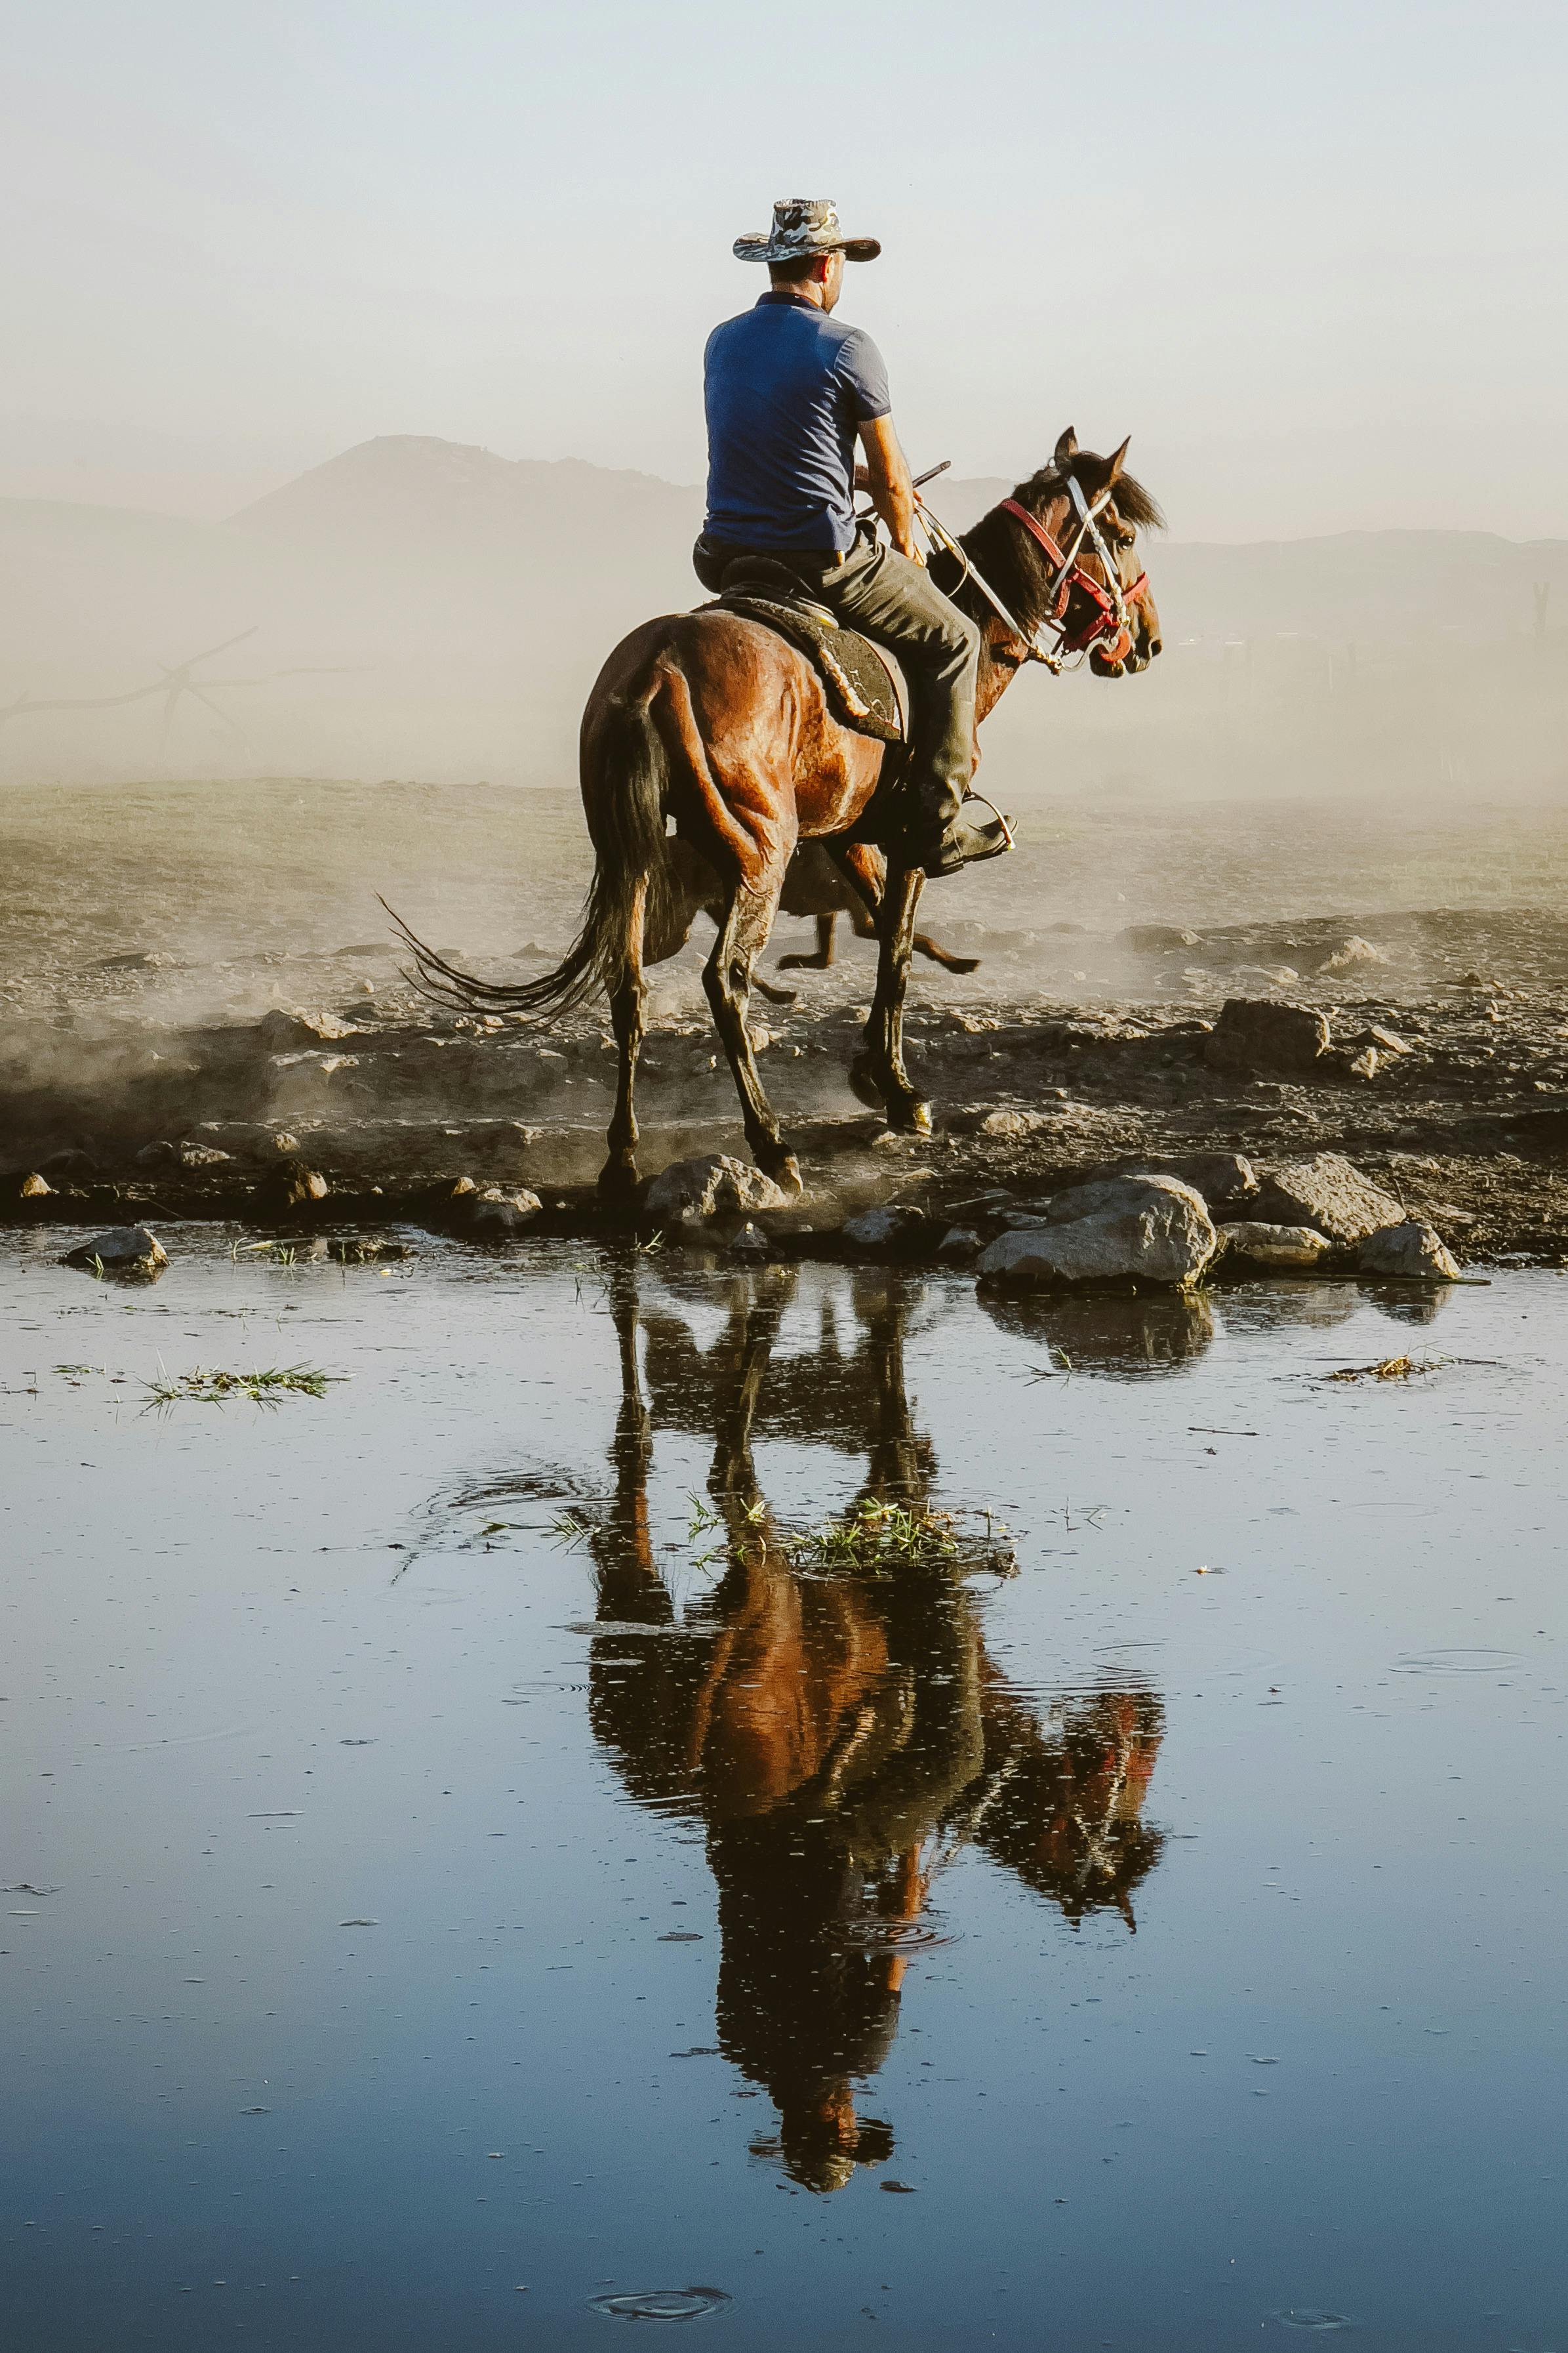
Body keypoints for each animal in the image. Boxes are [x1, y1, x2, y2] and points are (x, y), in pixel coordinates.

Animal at [393, 429, 1162, 1194]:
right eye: (1122, 536)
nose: (1149, 639)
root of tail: (657, 667)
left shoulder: (851, 835)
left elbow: (883, 932)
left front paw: (873, 1072)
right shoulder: (911, 837)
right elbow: (898, 949)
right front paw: (899, 1092)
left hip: (629, 854)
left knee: (627, 983)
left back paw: (622, 1156)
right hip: (760, 852)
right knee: (725, 980)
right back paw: (771, 1144)